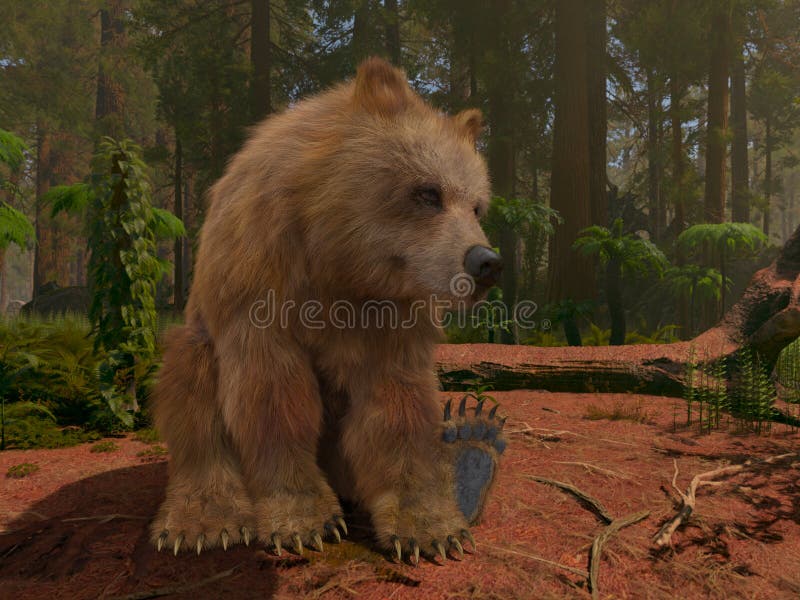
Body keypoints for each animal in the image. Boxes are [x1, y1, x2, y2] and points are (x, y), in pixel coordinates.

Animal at [150, 57, 506, 565]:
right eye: (427, 193)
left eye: (477, 206)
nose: (486, 263)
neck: (340, 260)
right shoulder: (262, 284)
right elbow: (274, 399)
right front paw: (304, 521)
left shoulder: (391, 320)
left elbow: (396, 406)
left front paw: (431, 528)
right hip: (198, 339)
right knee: (194, 399)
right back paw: (203, 520)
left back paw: (472, 445)